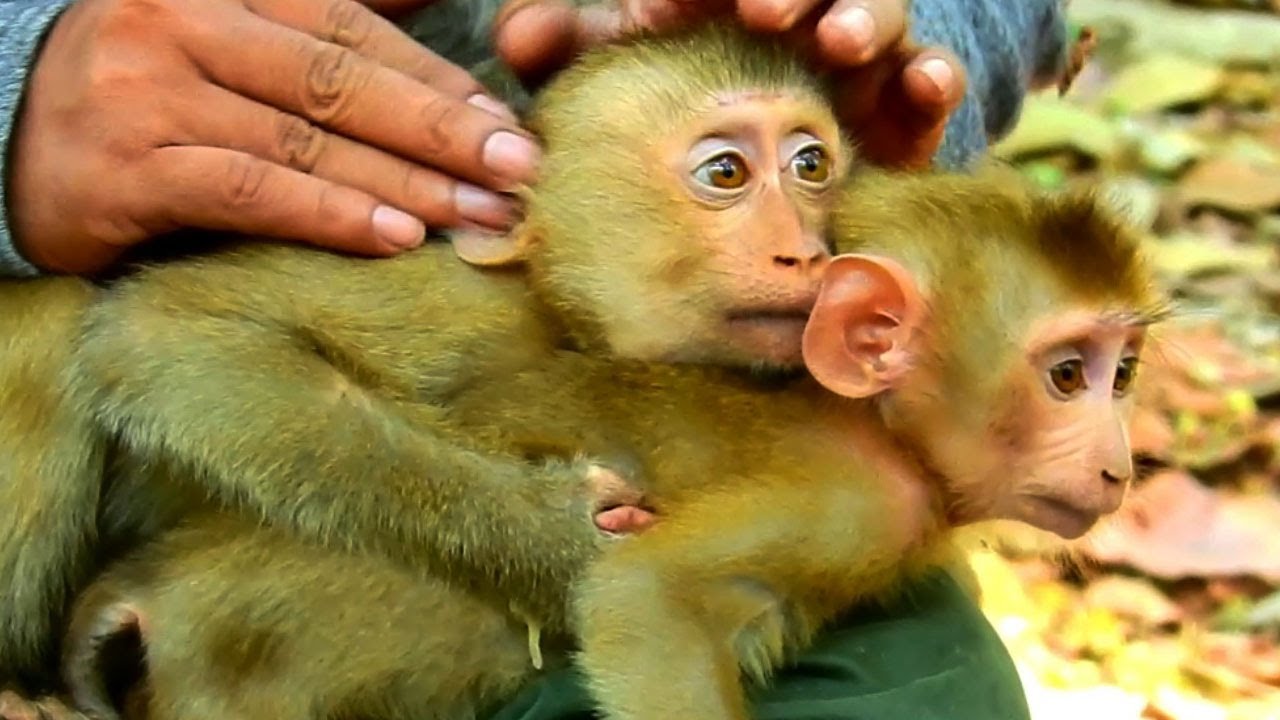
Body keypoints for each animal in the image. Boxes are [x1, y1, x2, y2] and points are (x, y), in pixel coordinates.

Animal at [58, 168, 1170, 720]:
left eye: (1121, 376)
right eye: (1064, 376)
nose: (1117, 467)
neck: (875, 424)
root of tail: (147, 593)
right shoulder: (845, 502)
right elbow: (648, 603)